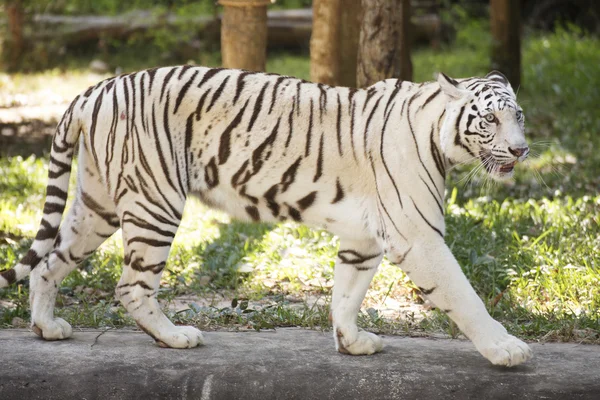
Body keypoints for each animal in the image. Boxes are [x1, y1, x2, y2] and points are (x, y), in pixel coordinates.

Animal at [2, 66, 532, 366]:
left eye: (519, 116)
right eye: (490, 119)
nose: (521, 150)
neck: (442, 141)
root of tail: (95, 89)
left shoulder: (363, 239)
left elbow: (347, 294)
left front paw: (351, 343)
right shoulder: (418, 237)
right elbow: (464, 297)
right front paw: (506, 349)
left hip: (97, 205)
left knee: (49, 263)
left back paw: (46, 328)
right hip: (156, 201)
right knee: (131, 285)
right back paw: (175, 337)